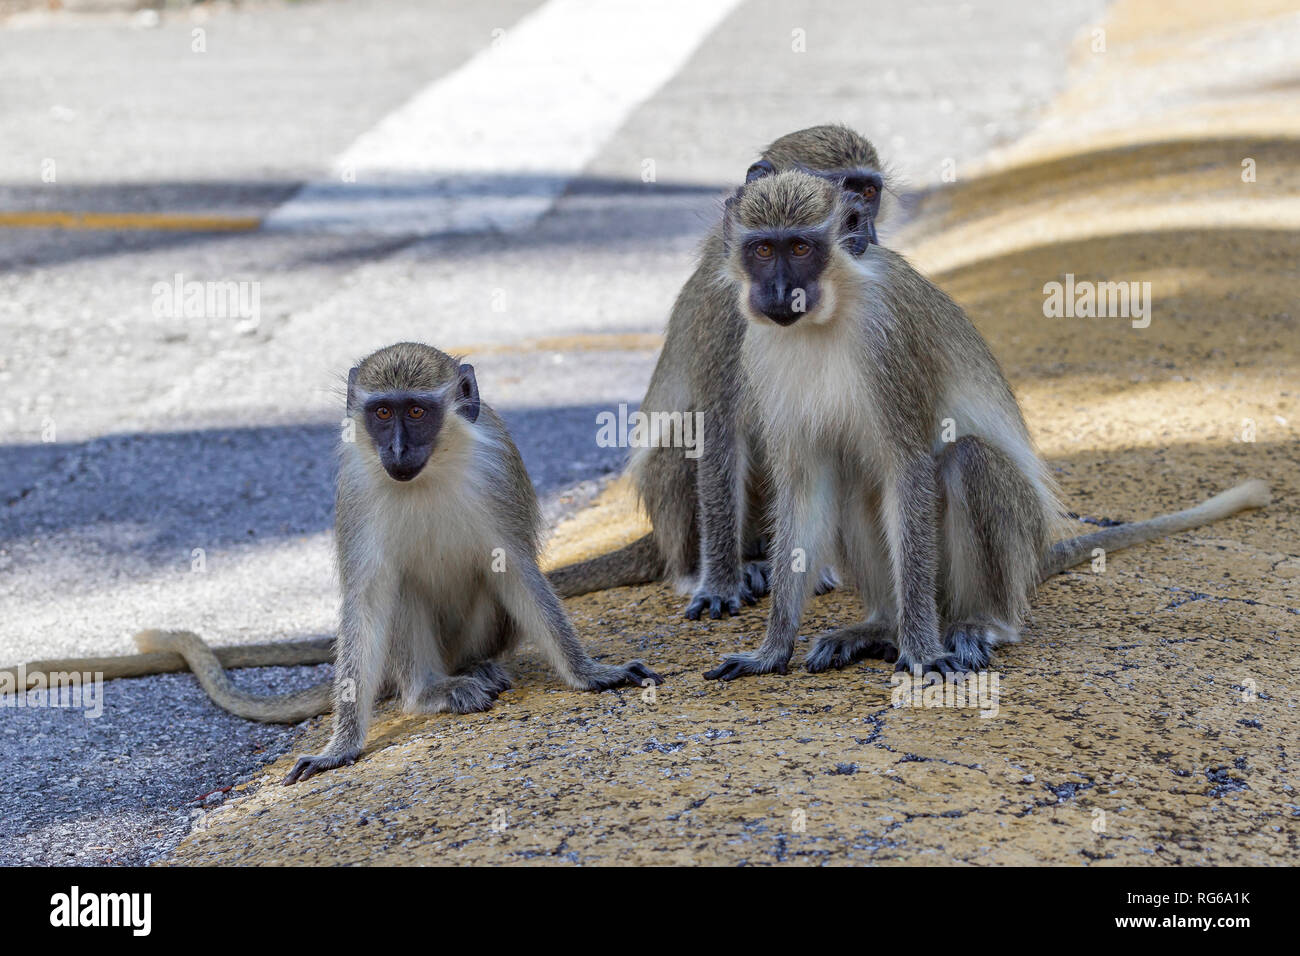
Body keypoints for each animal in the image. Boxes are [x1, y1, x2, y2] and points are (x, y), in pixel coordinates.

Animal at [548, 124, 890, 620]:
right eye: (840, 191)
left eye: (866, 193)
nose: (864, 232)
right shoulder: (726, 312)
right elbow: (715, 424)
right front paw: (720, 583)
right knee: (683, 437)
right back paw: (712, 568)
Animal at [700, 168, 1270, 681]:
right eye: (763, 251)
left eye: (800, 248)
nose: (778, 291)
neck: (828, 314)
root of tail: (1032, 561)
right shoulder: (760, 349)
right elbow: (805, 484)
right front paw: (772, 649)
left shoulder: (887, 343)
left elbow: (908, 470)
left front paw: (922, 651)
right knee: (854, 481)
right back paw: (881, 627)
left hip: (1012, 543)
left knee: (966, 460)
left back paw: (978, 623)